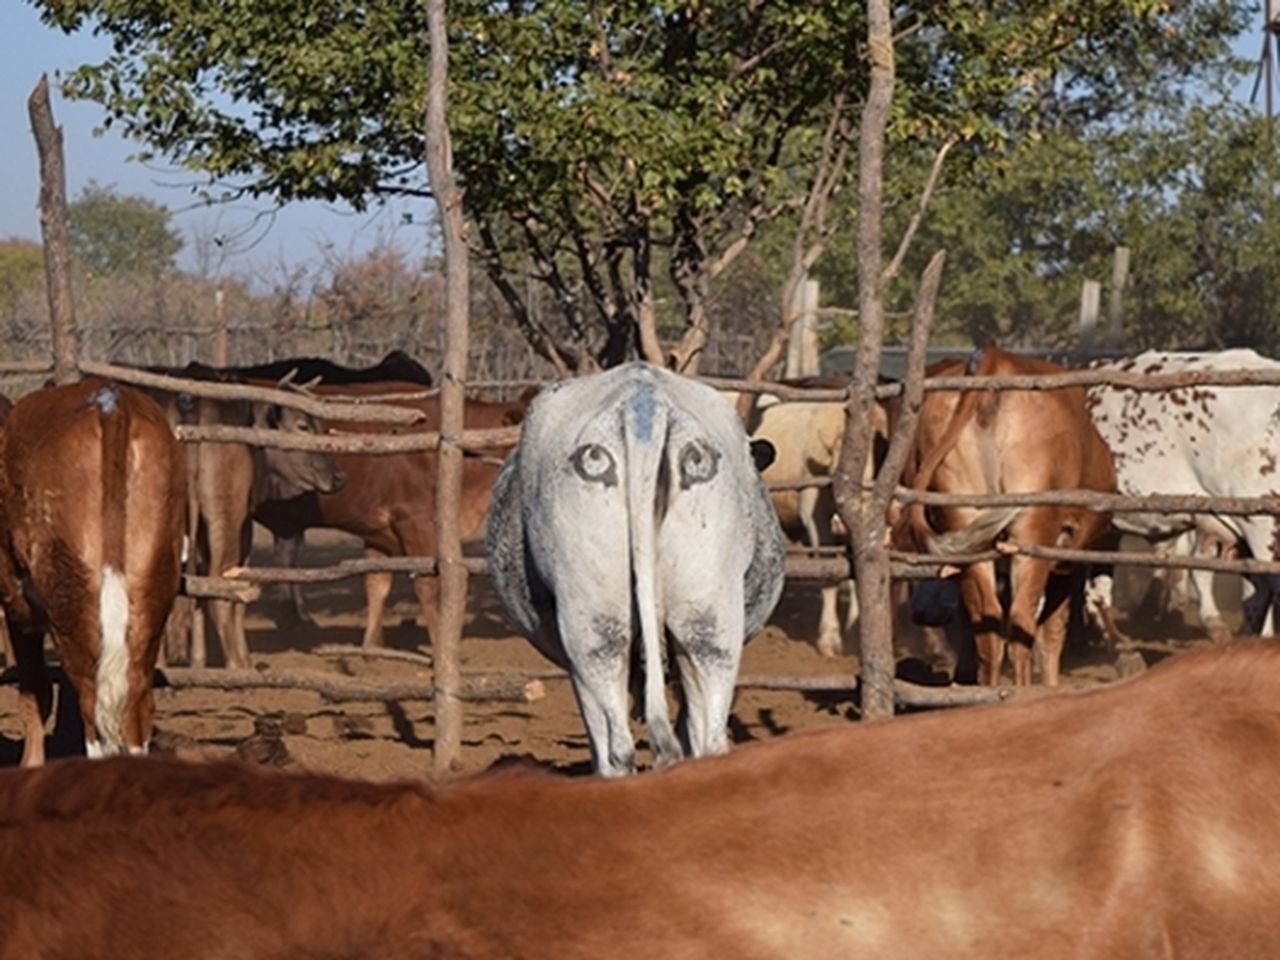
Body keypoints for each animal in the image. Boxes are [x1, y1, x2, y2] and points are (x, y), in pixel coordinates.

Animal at [0, 379, 186, 766]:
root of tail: (111, 403)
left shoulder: (15, 601)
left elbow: (34, 694)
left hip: (69, 596)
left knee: (93, 709)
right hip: (152, 587)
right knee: (136, 707)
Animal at [254, 381, 529, 648]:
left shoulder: (376, 531)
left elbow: (377, 583)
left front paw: (372, 648)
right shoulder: (416, 522)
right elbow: (429, 586)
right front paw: (440, 647)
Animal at [893, 347, 1116, 686]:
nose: (922, 613)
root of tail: (994, 357)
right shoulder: (1066, 559)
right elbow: (1052, 631)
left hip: (965, 519)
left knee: (987, 625)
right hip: (1031, 531)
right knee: (1021, 623)